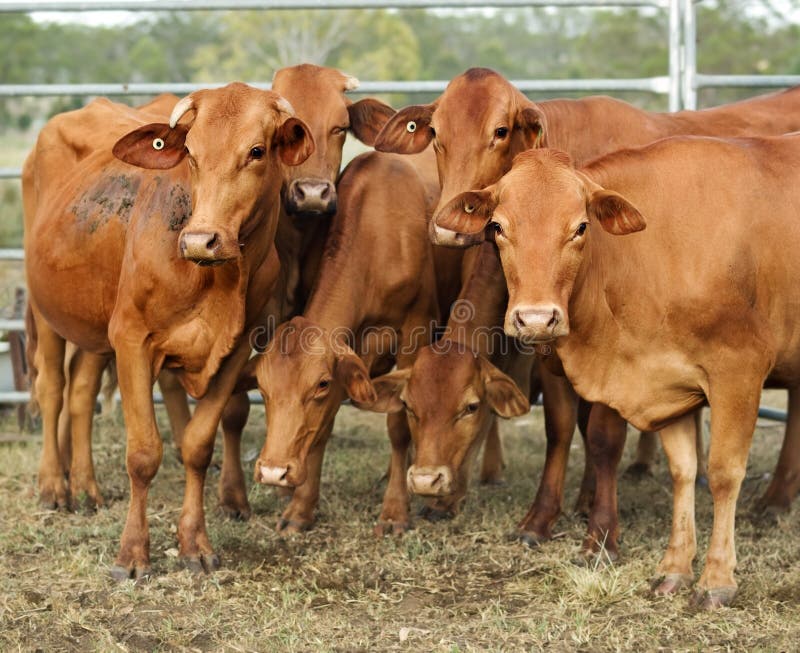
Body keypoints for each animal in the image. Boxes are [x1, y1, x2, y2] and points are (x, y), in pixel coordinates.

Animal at [24, 82, 314, 579]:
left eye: (257, 151)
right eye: (191, 153)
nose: (200, 240)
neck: (217, 282)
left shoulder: (237, 348)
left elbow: (198, 445)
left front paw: (195, 543)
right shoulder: (131, 340)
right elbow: (143, 454)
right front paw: (132, 555)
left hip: (94, 324)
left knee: (80, 392)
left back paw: (85, 487)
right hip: (47, 312)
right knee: (53, 388)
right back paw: (53, 488)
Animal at [372, 67, 800, 550]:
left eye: (499, 131)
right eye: (435, 133)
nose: (448, 228)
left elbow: (601, 435)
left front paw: (600, 526)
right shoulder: (552, 351)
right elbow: (560, 427)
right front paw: (544, 517)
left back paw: (776, 498)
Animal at [431, 136, 800, 608]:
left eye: (580, 227)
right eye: (497, 226)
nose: (536, 319)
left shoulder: (739, 369)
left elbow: (721, 473)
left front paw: (717, 579)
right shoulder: (669, 382)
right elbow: (683, 471)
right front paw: (675, 568)